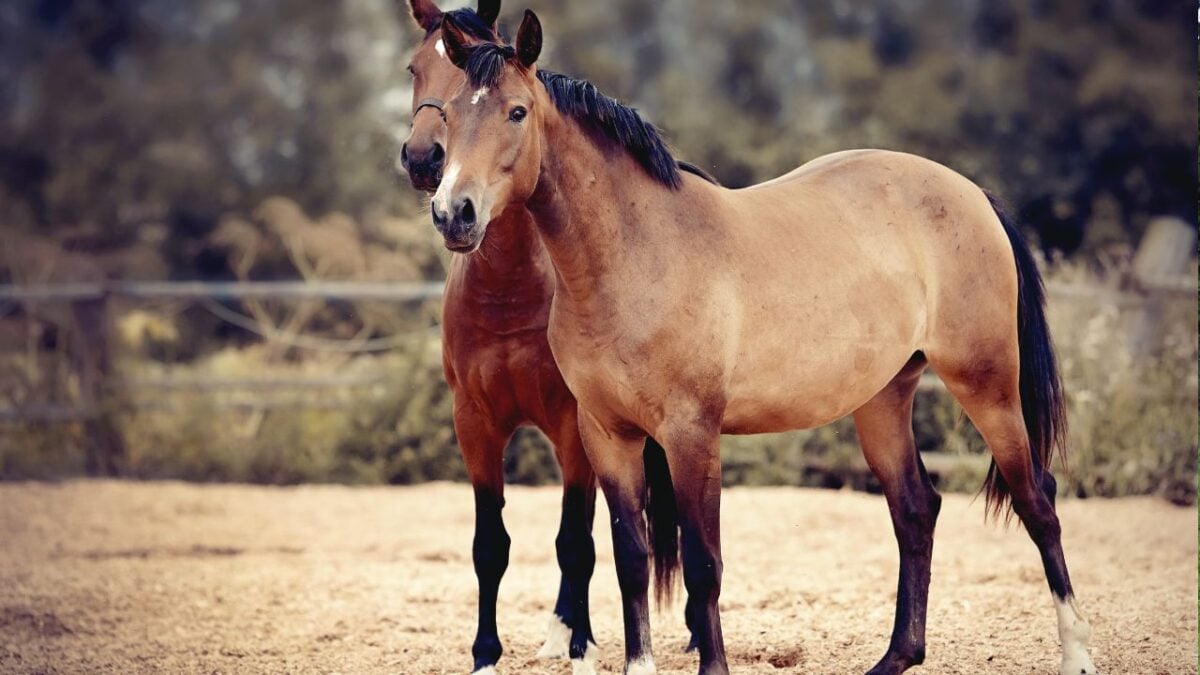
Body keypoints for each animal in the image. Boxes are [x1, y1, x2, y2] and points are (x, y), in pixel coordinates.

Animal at [398, 2, 689, 673]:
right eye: (414, 68)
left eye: (517, 111)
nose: (426, 162)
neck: (511, 289)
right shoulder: (475, 422)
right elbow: (490, 544)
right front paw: (486, 653)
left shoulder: (573, 422)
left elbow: (576, 541)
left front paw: (583, 648)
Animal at [429, 11, 1099, 675]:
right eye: (451, 112)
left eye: (517, 111)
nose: (453, 213)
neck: (635, 254)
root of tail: (972, 194)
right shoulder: (605, 435)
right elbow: (630, 561)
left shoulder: (691, 434)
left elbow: (703, 566)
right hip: (884, 400)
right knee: (916, 511)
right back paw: (895, 657)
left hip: (987, 386)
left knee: (1037, 501)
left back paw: (1077, 656)